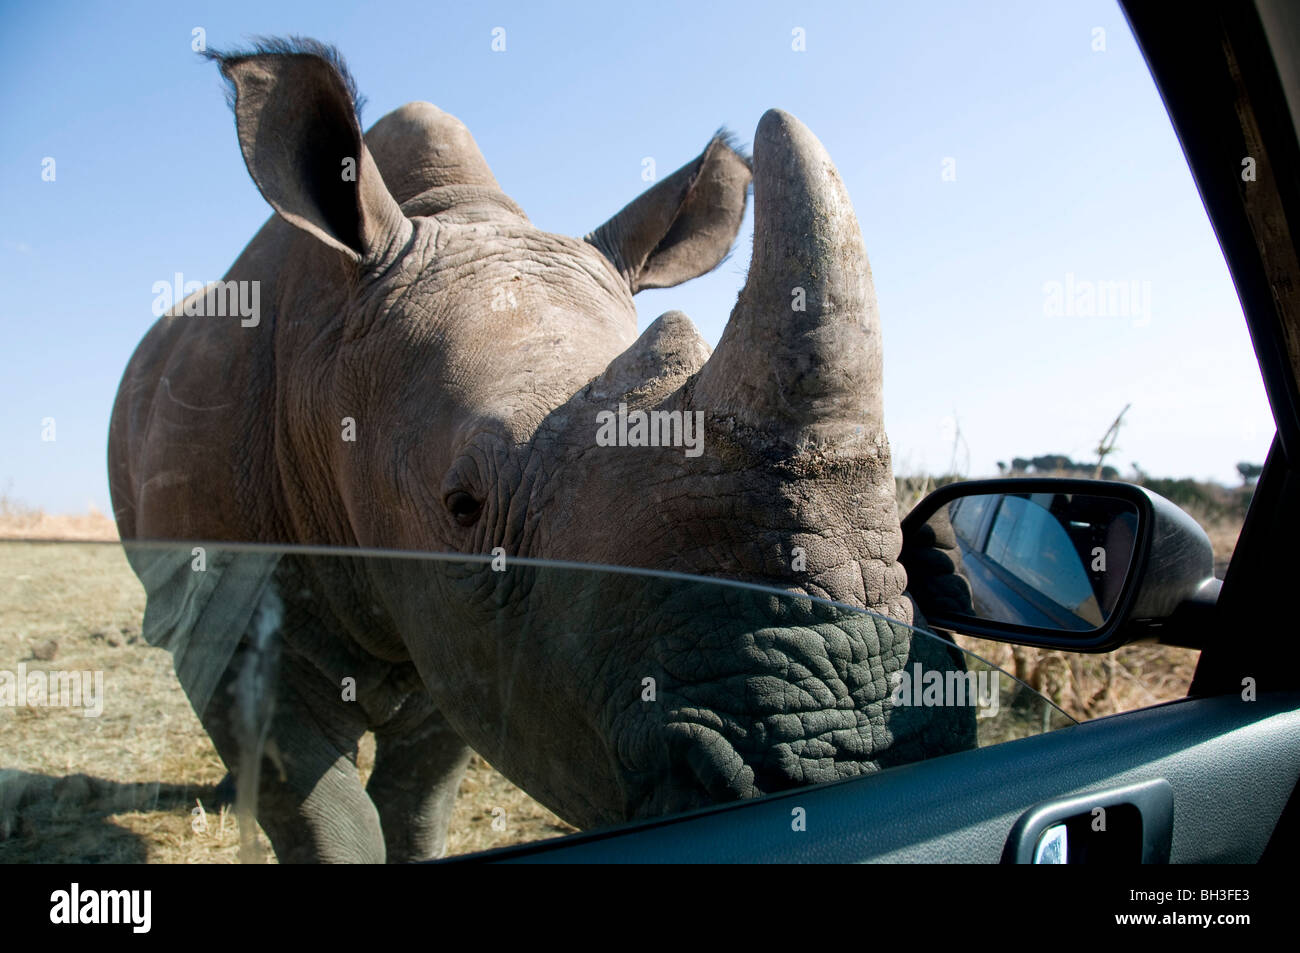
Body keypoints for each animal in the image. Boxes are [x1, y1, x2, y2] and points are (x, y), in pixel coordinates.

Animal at [108, 38, 974, 862]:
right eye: (463, 506)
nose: (841, 757)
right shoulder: (244, 598)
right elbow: (328, 818)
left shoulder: (458, 632)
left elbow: (415, 800)